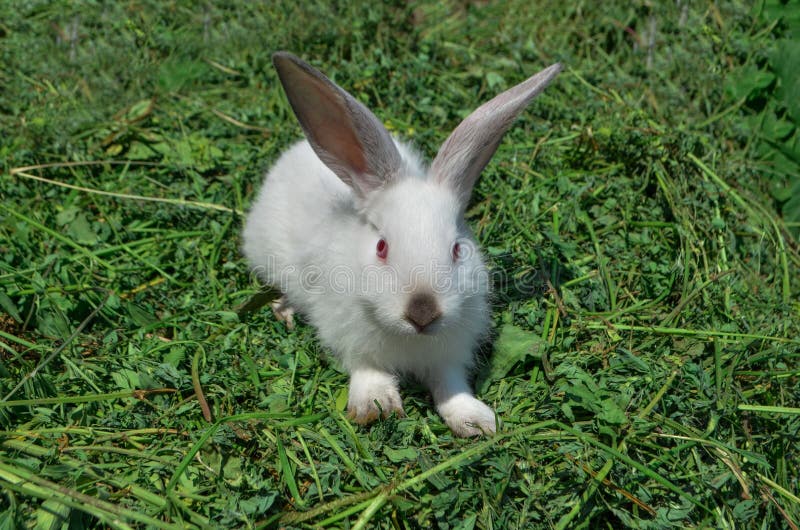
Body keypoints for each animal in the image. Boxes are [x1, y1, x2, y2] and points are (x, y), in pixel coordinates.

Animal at [242, 52, 561, 437]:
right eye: (381, 246)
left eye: (457, 249)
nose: (422, 313)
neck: (410, 338)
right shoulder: (352, 340)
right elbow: (368, 369)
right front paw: (375, 406)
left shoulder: (449, 356)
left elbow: (451, 386)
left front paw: (476, 421)